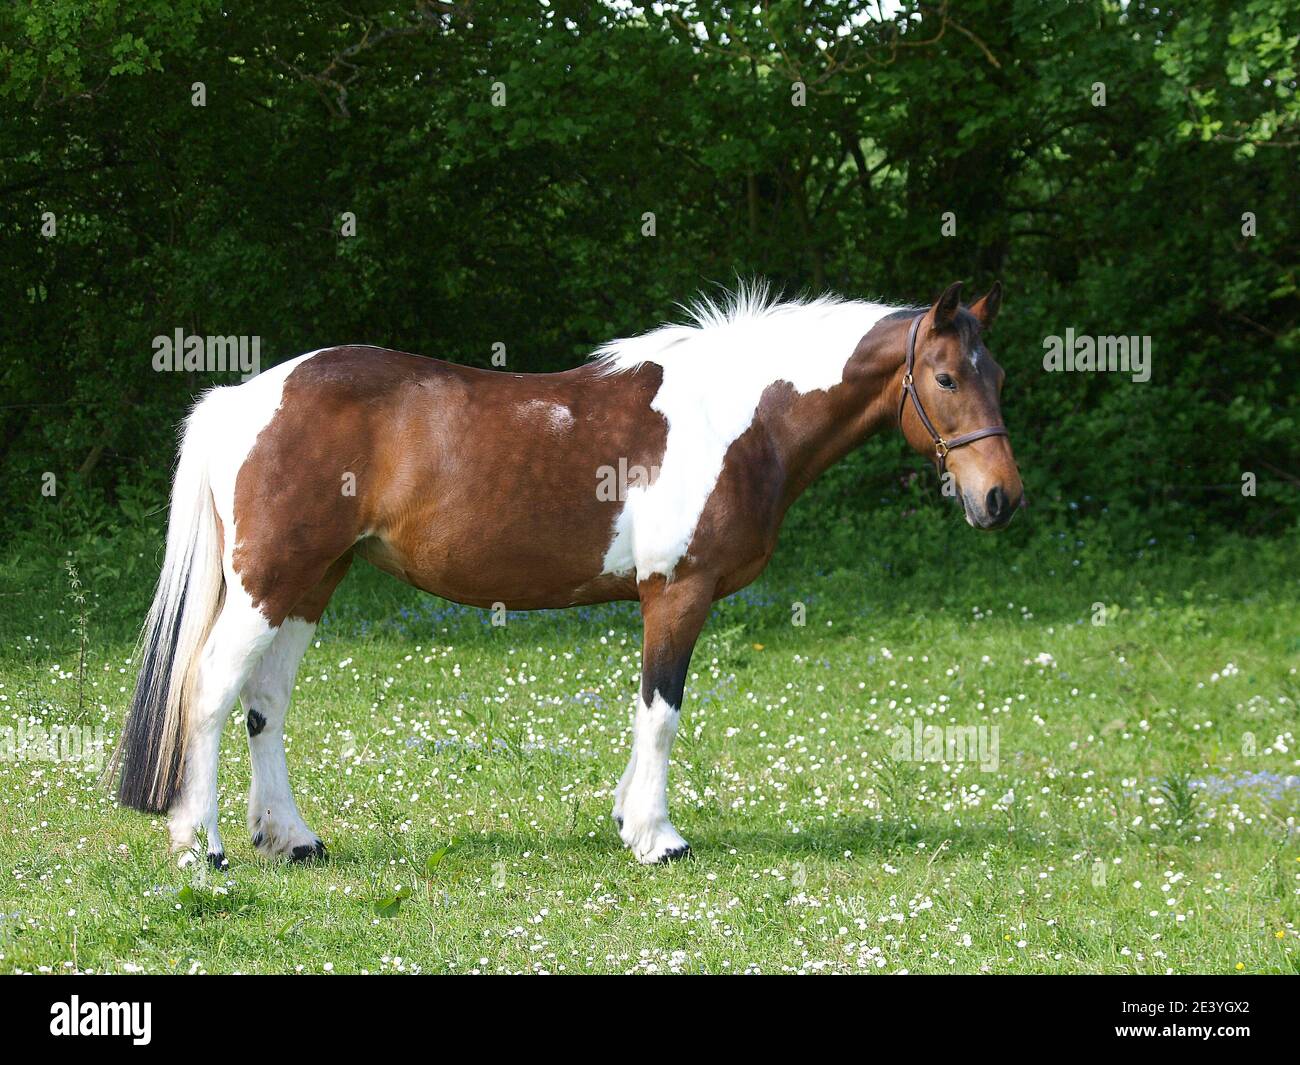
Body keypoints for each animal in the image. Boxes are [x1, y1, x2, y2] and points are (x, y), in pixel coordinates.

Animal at [112, 280, 1022, 866]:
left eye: (1000, 374)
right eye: (946, 376)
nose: (1001, 498)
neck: (736, 419)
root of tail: (243, 397)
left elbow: (645, 711)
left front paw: (626, 817)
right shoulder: (677, 592)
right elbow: (662, 711)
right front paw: (657, 838)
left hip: (308, 582)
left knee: (265, 703)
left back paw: (293, 838)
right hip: (268, 583)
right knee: (210, 691)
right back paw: (200, 846)